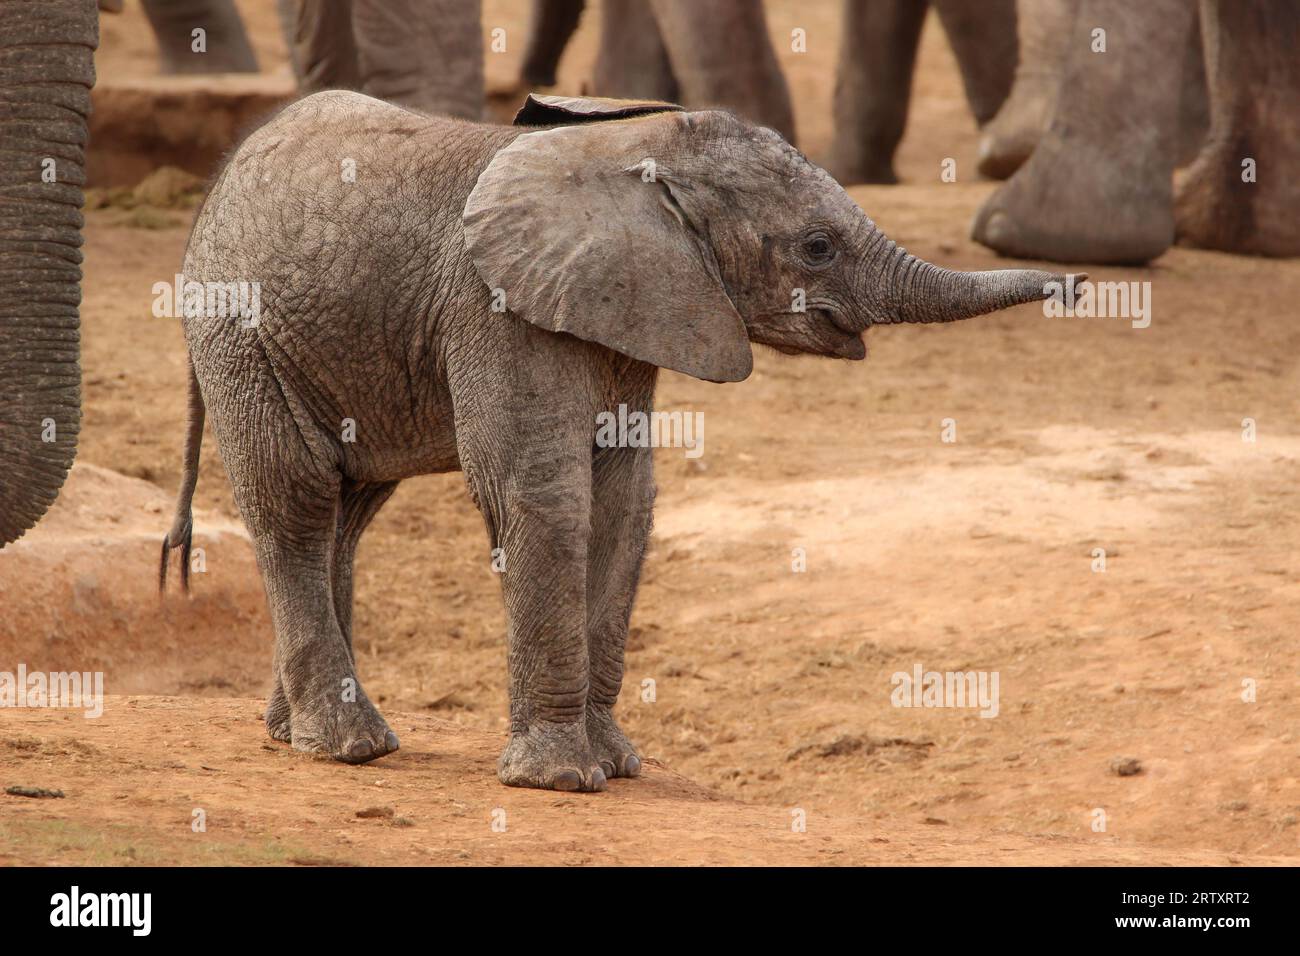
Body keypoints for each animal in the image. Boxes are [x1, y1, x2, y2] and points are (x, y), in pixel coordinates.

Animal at [160, 90, 1078, 790]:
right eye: (817, 248)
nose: (1076, 288)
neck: (629, 157)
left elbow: (626, 500)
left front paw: (621, 767)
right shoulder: (496, 307)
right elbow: (545, 494)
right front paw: (560, 781)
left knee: (348, 513)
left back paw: (293, 735)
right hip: (237, 328)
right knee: (299, 500)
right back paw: (350, 749)